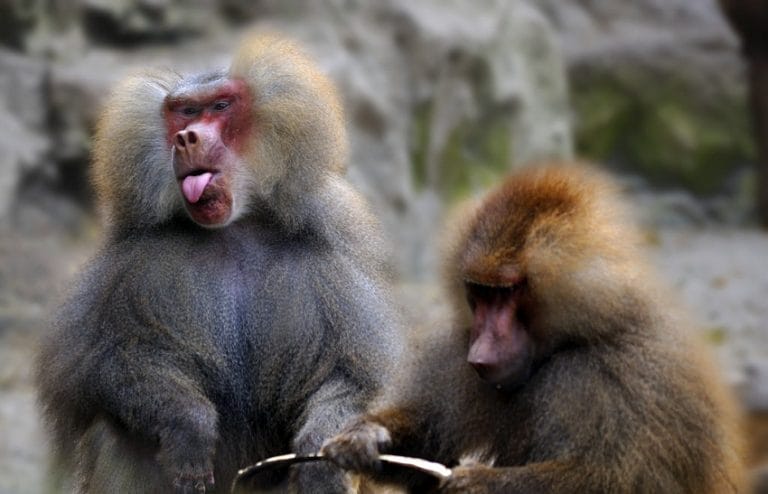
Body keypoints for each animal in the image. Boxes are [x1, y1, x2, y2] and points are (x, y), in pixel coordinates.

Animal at [34, 33, 404, 494]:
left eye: (221, 106)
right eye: (186, 112)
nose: (187, 138)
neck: (234, 231)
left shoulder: (329, 268)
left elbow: (355, 379)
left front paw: (321, 460)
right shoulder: (136, 272)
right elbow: (107, 362)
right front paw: (189, 429)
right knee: (111, 434)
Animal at [321, 163, 746, 493]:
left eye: (508, 291)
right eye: (480, 292)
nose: (480, 351)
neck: (562, 347)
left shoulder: (634, 376)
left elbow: (626, 481)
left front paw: (482, 484)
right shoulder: (454, 353)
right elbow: (428, 450)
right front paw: (364, 436)